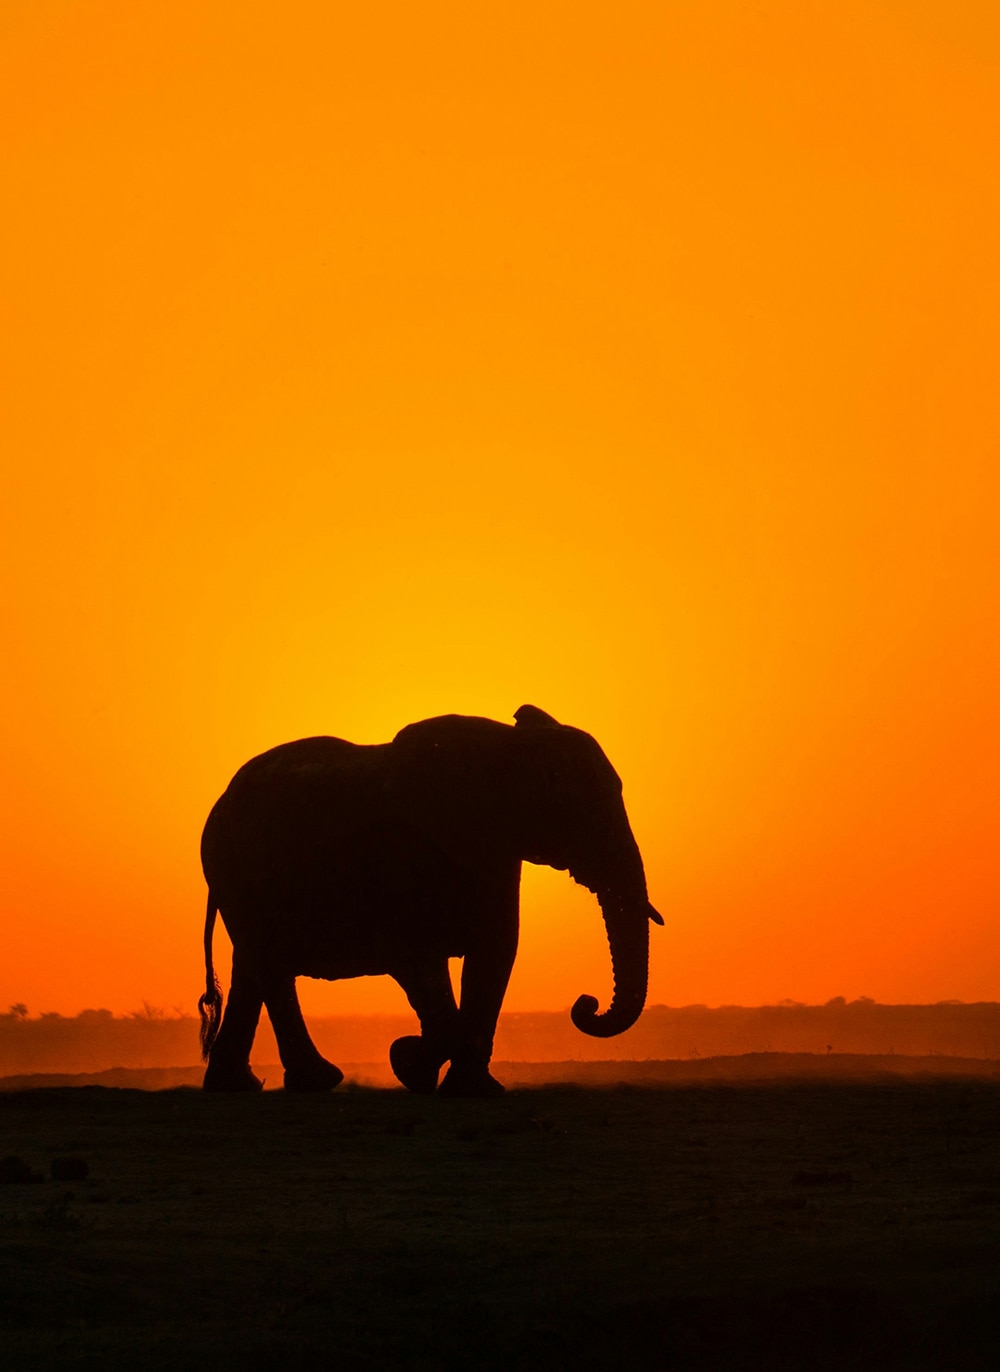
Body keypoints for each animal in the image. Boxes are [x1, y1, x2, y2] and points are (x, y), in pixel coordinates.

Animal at [198, 704, 662, 1097]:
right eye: (575, 807)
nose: (586, 1004)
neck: (505, 746)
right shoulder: (405, 850)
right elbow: (416, 957)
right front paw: (409, 1063)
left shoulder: (495, 851)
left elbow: (494, 954)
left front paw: (470, 1090)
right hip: (232, 867)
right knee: (268, 964)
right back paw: (312, 1081)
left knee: (254, 967)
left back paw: (244, 1086)